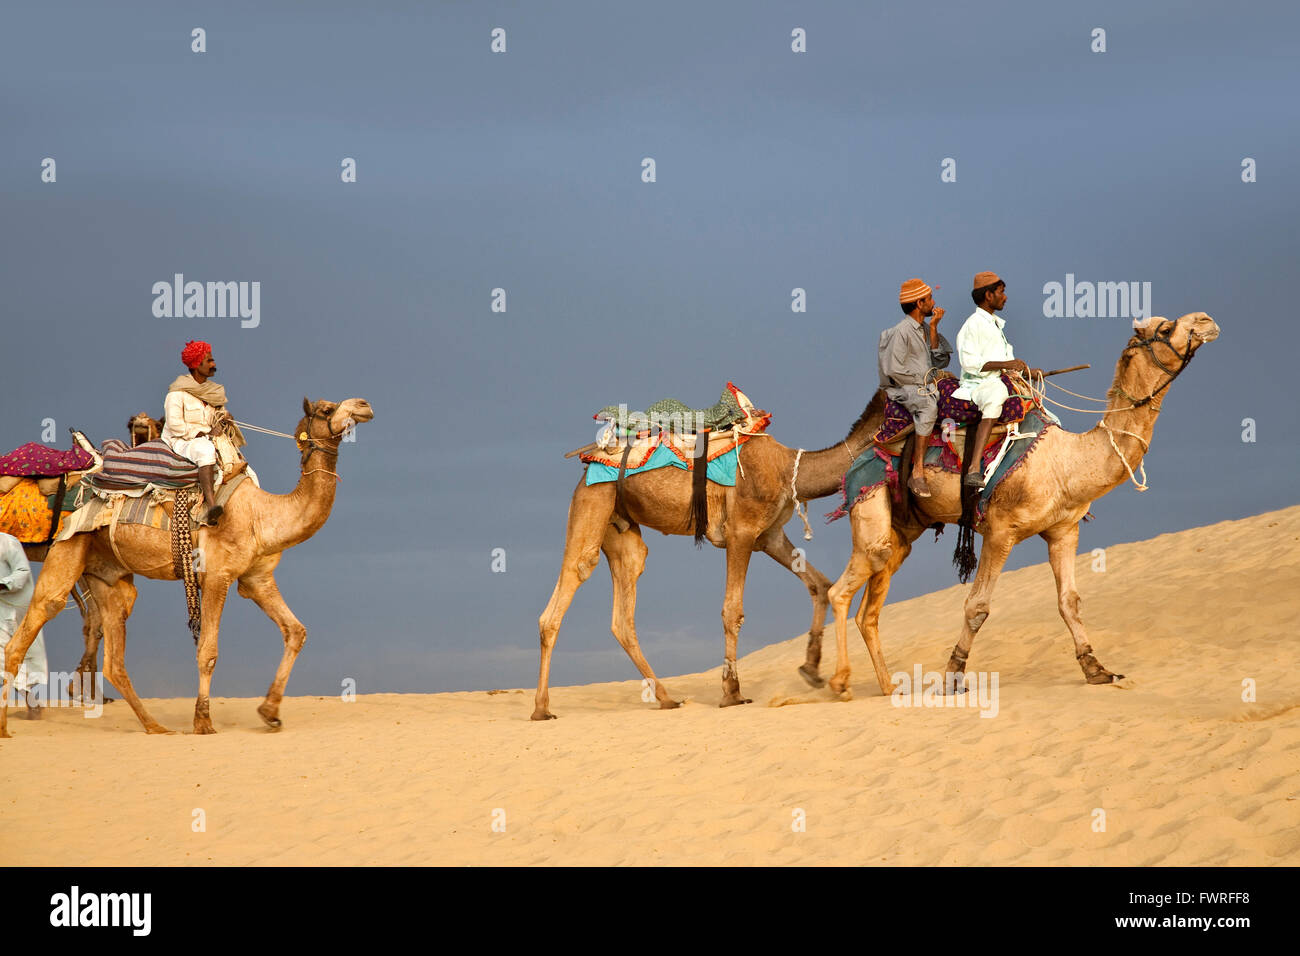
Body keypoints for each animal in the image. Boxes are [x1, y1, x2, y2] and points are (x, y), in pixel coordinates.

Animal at [0, 397, 374, 737]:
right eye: (327, 409)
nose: (364, 405)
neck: (261, 514)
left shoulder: (256, 578)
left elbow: (296, 631)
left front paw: (269, 712)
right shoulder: (218, 575)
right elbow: (208, 651)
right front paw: (203, 721)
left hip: (106, 572)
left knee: (113, 655)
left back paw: (154, 726)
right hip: (69, 544)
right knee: (32, 625)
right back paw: (8, 727)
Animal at [533, 392, 888, 719]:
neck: (790, 470)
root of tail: (587, 465)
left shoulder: (770, 536)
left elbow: (819, 584)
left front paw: (812, 669)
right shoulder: (740, 531)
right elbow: (732, 611)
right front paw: (732, 693)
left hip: (621, 530)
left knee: (624, 609)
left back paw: (666, 698)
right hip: (593, 503)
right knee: (569, 584)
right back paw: (541, 708)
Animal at [825, 313, 1219, 698]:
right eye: (1165, 328)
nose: (1206, 320)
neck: (1065, 463)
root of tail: (863, 455)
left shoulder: (1063, 530)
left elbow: (1069, 601)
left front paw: (1097, 669)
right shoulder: (1000, 531)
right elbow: (977, 606)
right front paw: (953, 676)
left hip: (904, 528)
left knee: (871, 605)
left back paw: (888, 686)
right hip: (869, 498)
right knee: (842, 587)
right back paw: (840, 683)